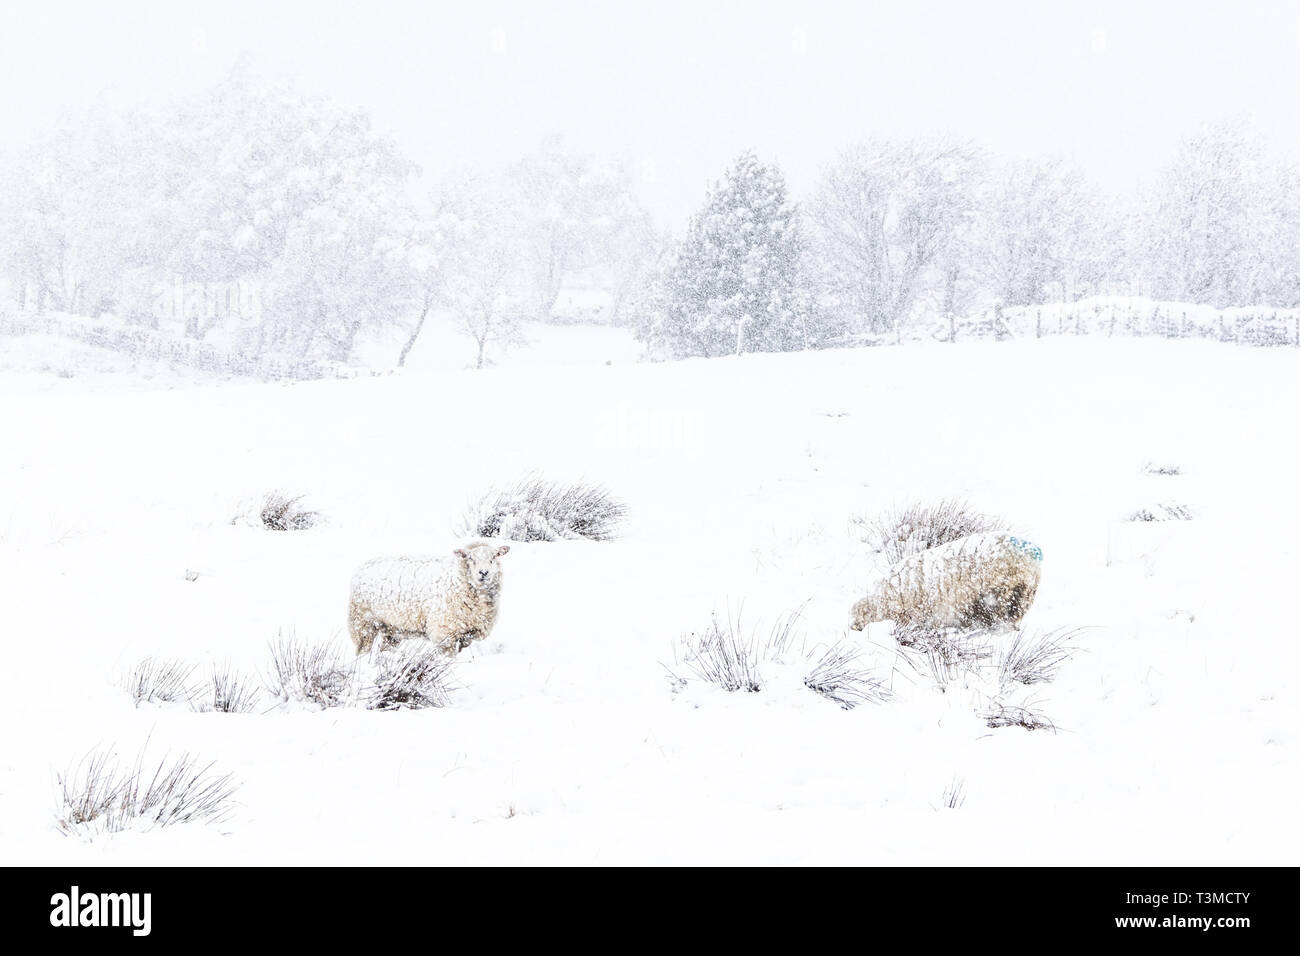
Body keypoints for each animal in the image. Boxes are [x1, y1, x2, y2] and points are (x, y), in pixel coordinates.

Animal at [348, 541, 510, 656]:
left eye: (494, 556)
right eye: (470, 558)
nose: (484, 573)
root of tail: (362, 567)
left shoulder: (469, 634)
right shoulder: (444, 633)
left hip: (392, 627)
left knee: (385, 648)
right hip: (363, 623)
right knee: (363, 649)